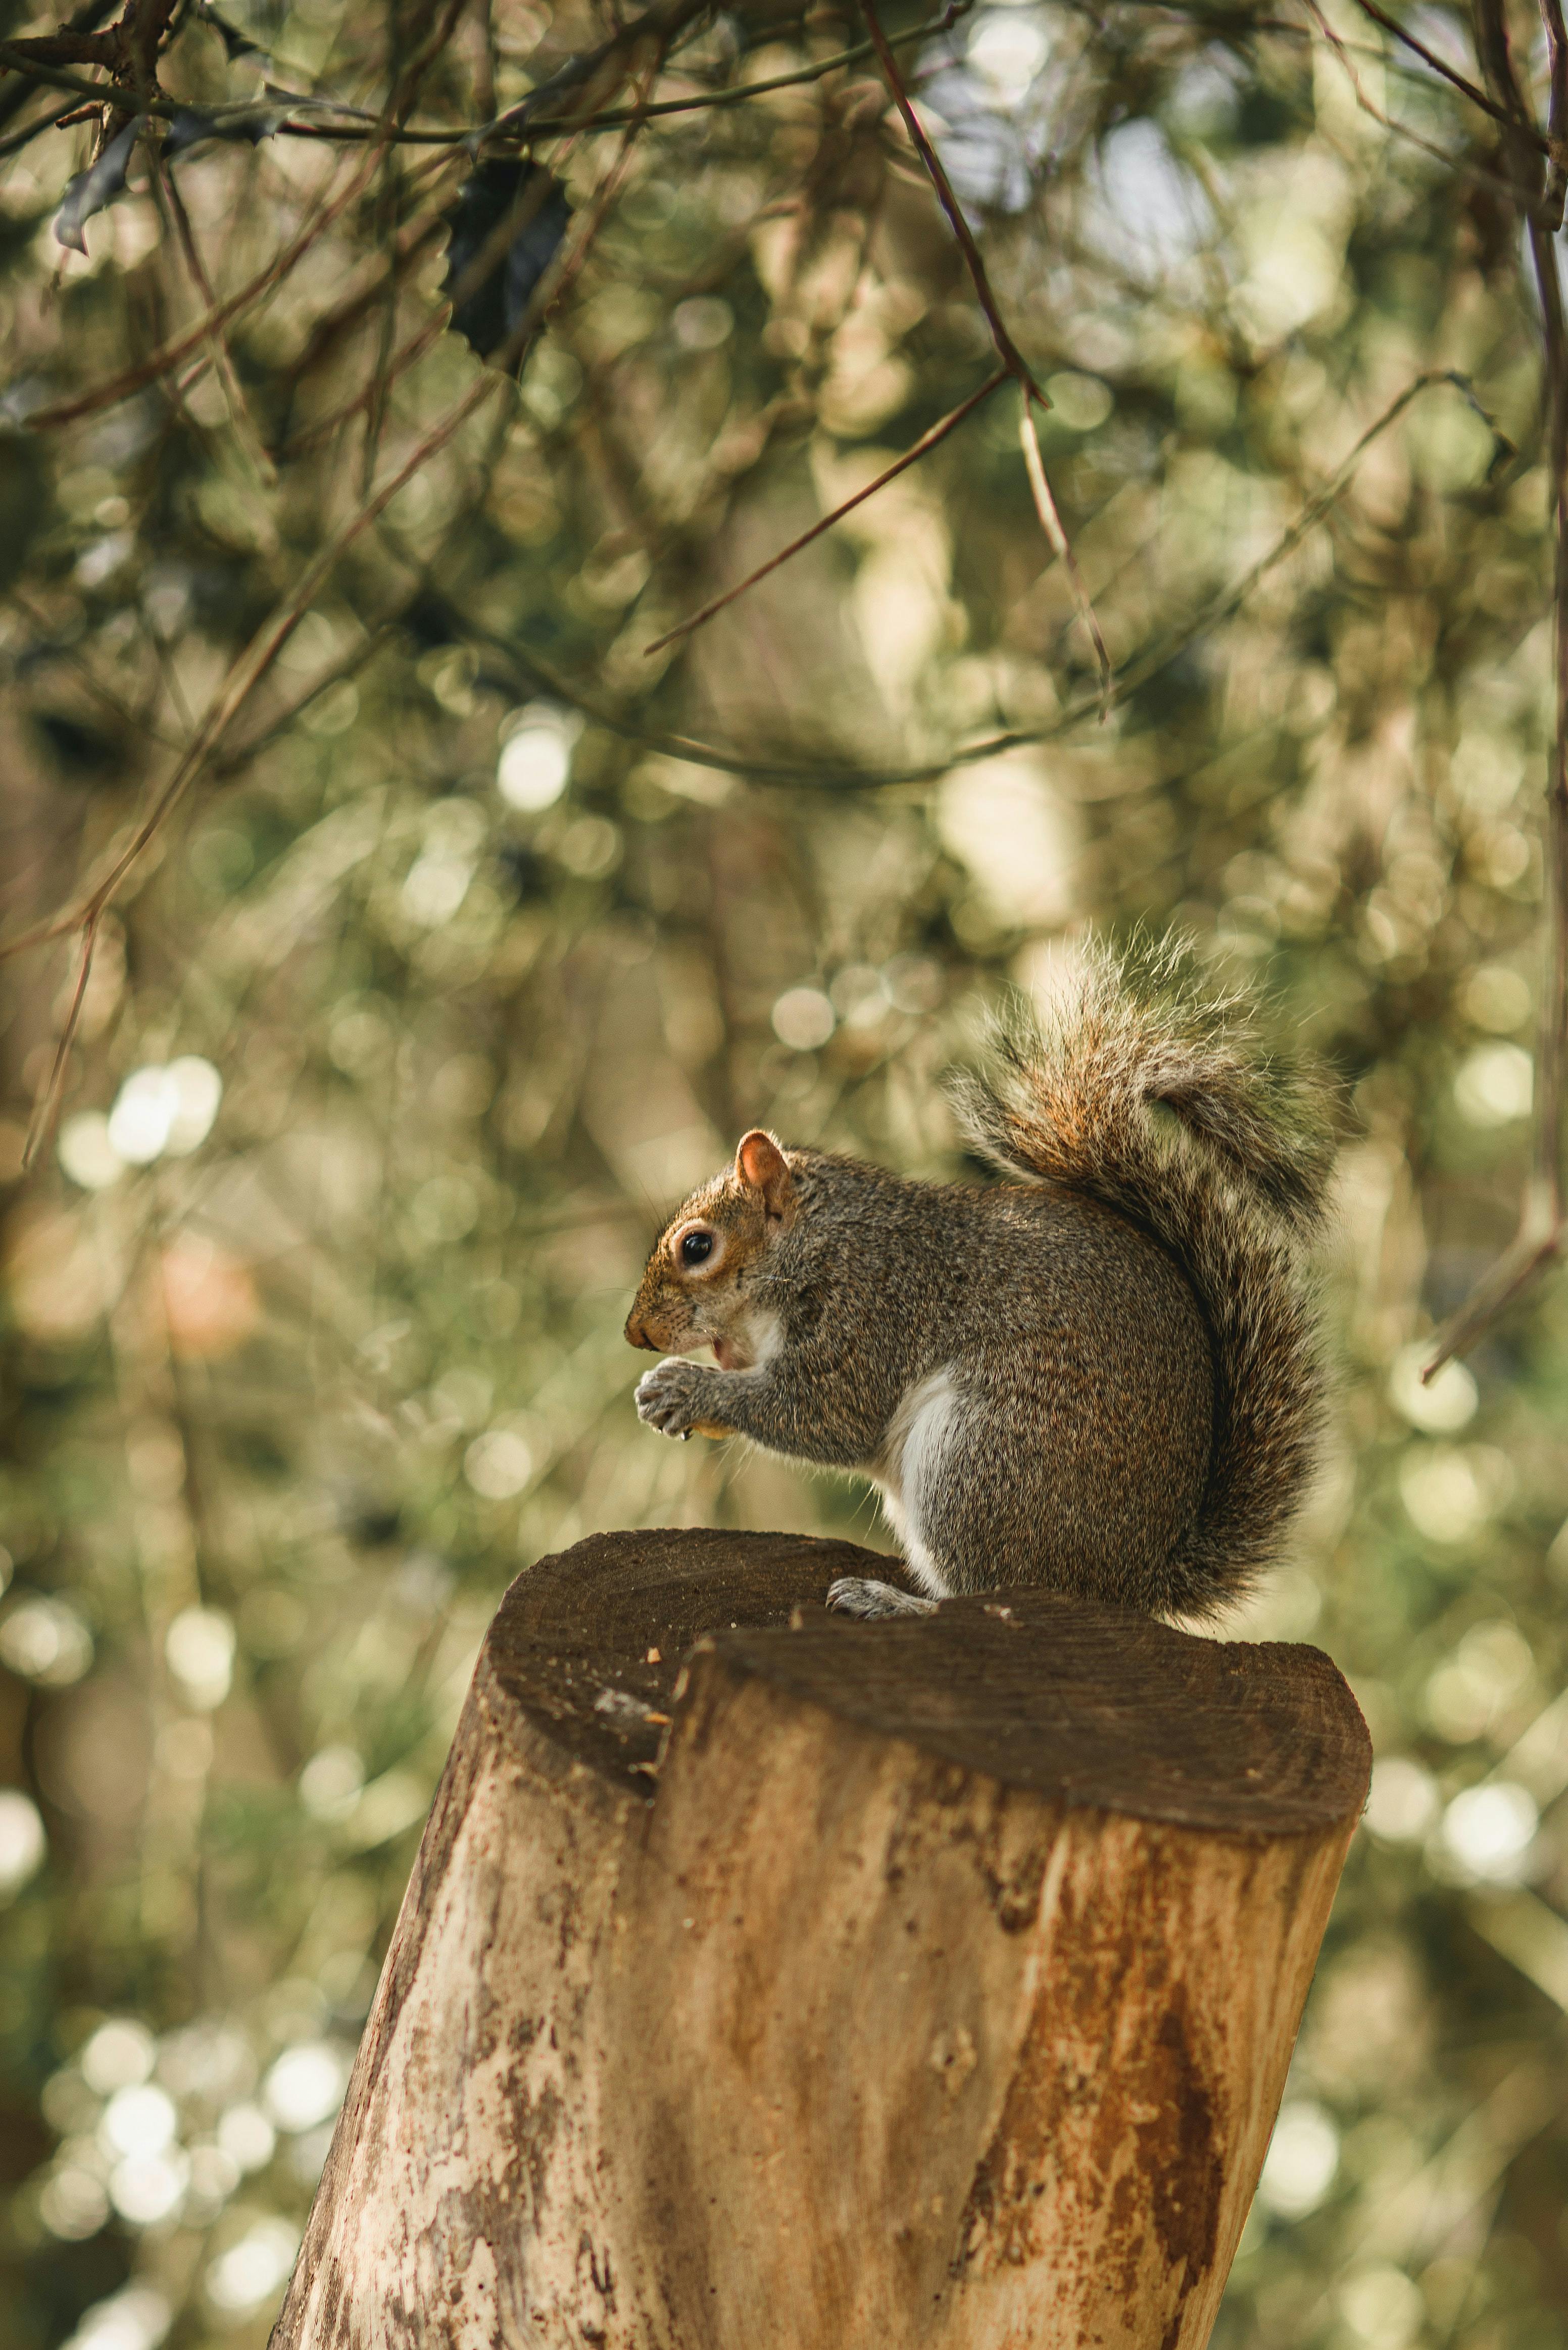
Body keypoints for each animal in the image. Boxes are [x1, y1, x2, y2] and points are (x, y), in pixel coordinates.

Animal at [624, 938, 1334, 1623]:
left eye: (696, 1246)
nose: (635, 1334)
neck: (816, 1244)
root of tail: (1134, 1581)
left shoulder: (869, 1309)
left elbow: (822, 1415)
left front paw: (684, 1389)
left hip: (976, 1462)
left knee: (992, 1594)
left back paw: (893, 1601)